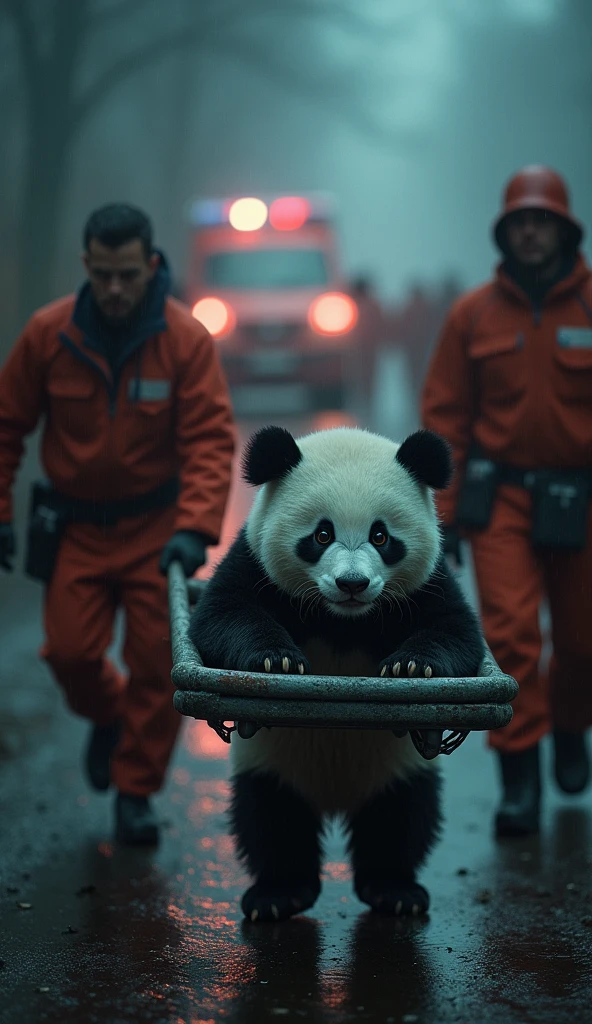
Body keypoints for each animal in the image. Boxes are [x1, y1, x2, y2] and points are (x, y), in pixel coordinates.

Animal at [189, 424, 485, 923]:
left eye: (381, 536)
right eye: (321, 534)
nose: (352, 583)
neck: (342, 622)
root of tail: (334, 800)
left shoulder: (431, 581)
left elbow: (455, 630)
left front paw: (412, 666)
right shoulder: (253, 560)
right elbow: (222, 613)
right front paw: (275, 661)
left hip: (396, 770)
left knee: (402, 817)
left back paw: (392, 890)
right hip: (272, 765)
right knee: (268, 818)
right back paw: (280, 894)